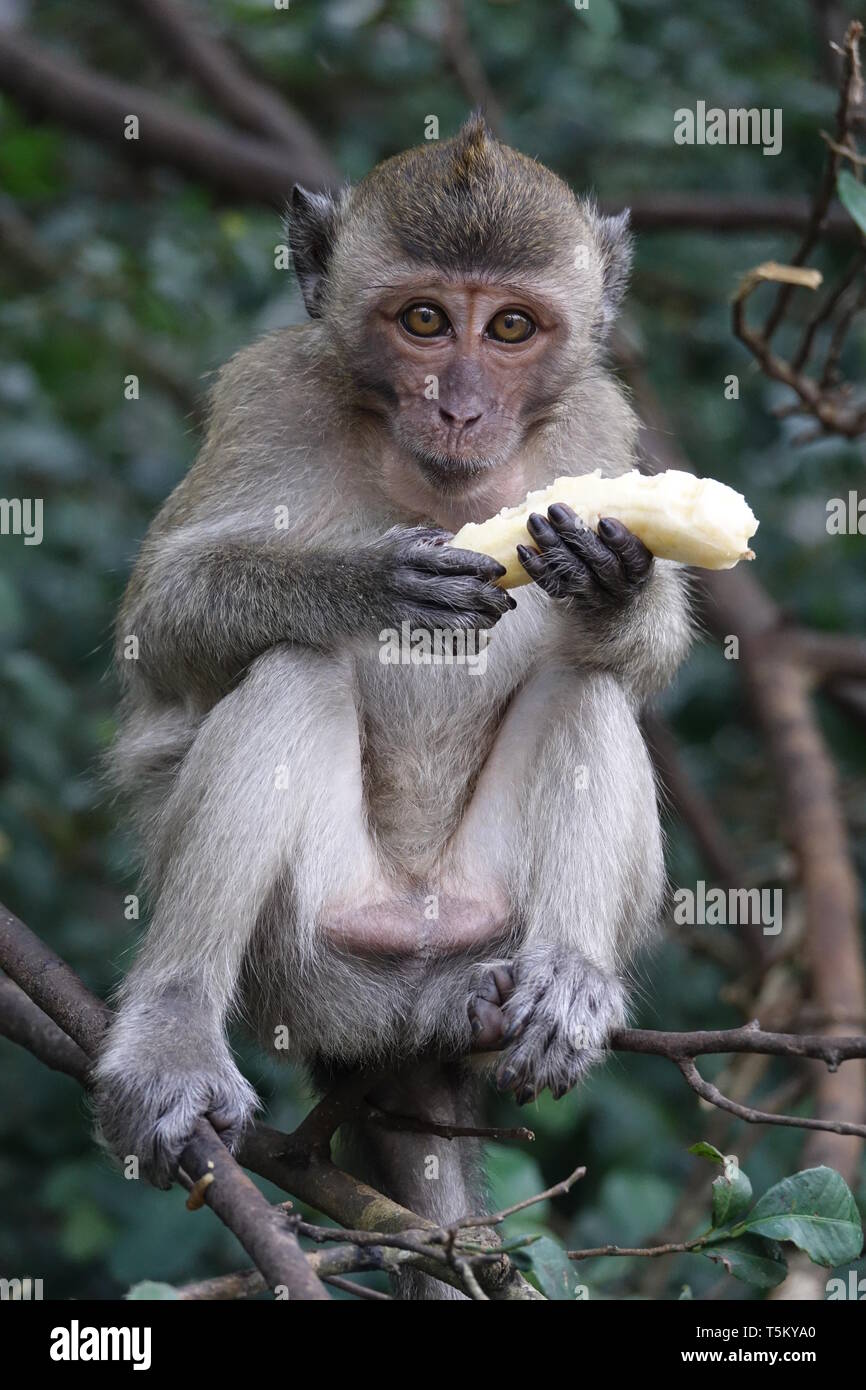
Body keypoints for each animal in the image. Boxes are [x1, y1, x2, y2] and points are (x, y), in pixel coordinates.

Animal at [93, 115, 691, 1299]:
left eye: (510, 327)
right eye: (423, 320)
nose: (459, 406)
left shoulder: (597, 422)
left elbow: (635, 662)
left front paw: (616, 580)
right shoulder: (268, 393)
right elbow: (165, 616)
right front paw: (365, 580)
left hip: (482, 929)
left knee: (585, 687)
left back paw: (563, 981)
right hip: (309, 963)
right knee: (290, 672)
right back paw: (173, 1039)